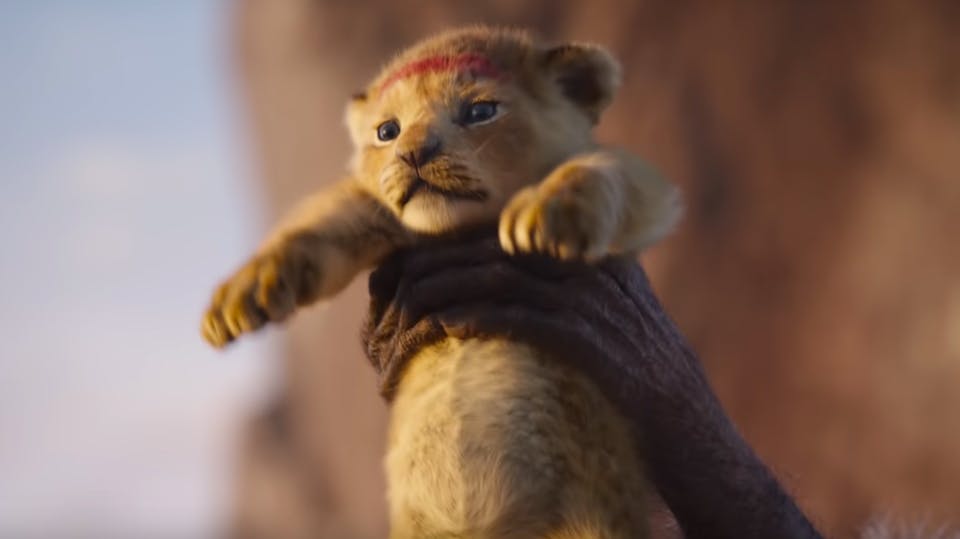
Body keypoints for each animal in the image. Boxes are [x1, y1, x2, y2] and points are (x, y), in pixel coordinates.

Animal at [202, 26, 682, 538]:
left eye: (480, 111)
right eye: (387, 131)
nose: (413, 153)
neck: (457, 228)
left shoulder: (644, 188)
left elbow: (600, 173)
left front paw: (544, 215)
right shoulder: (372, 212)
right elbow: (317, 224)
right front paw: (241, 296)